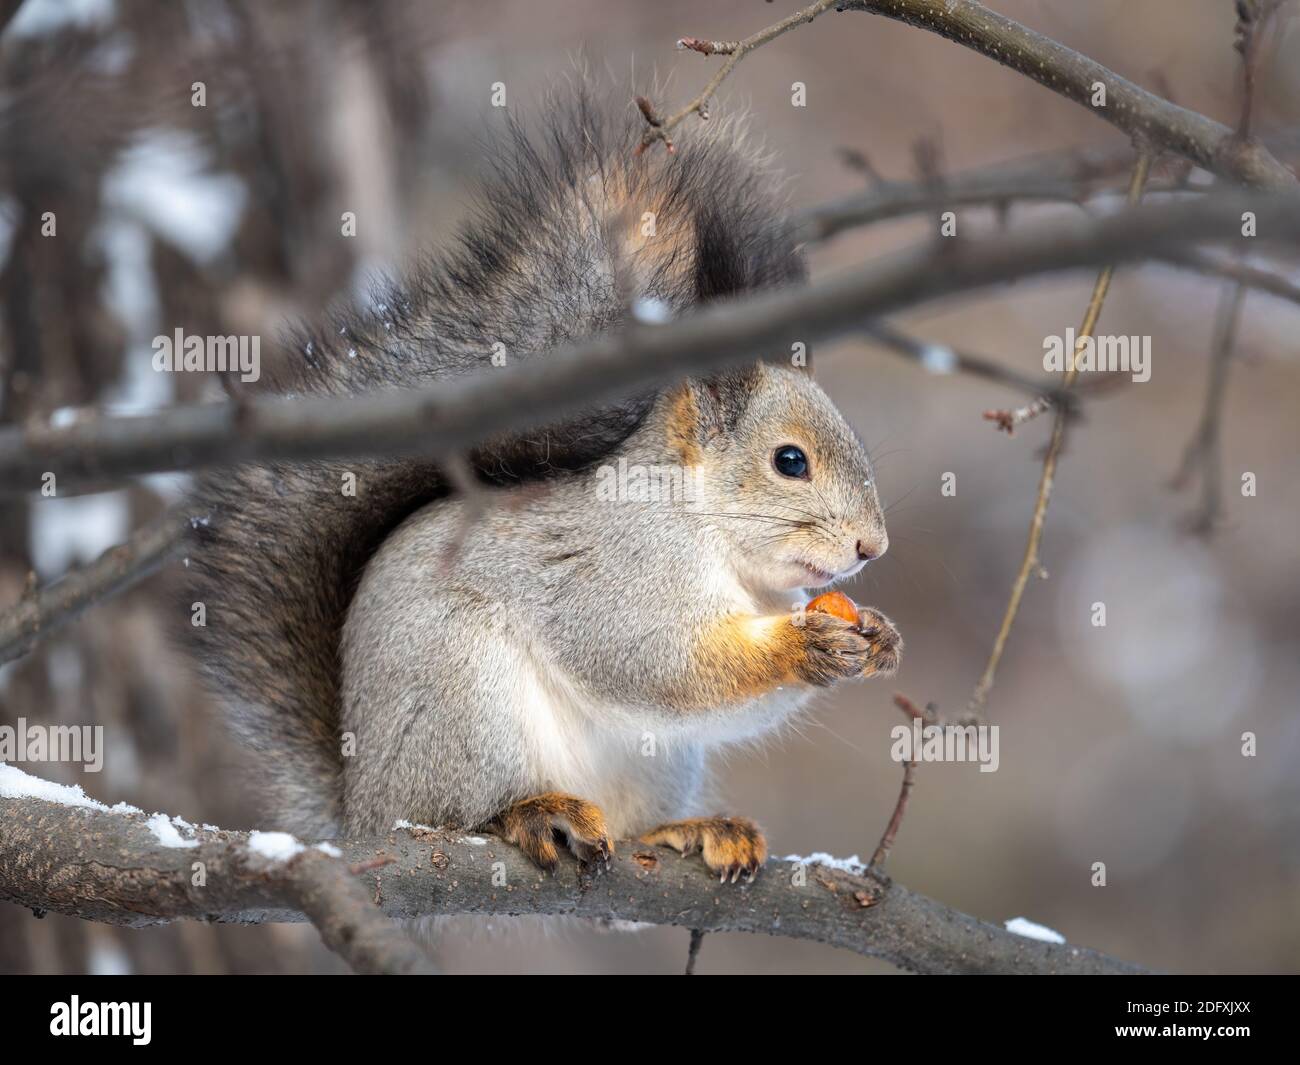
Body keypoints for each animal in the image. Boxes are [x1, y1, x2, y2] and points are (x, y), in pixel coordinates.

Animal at [185, 89, 901, 883]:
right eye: (790, 461)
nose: (873, 547)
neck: (716, 543)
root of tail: (363, 811)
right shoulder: (615, 573)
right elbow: (650, 659)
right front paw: (799, 649)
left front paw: (878, 638)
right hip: (463, 701)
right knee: (463, 810)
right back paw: (532, 813)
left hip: (656, 762)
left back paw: (692, 830)